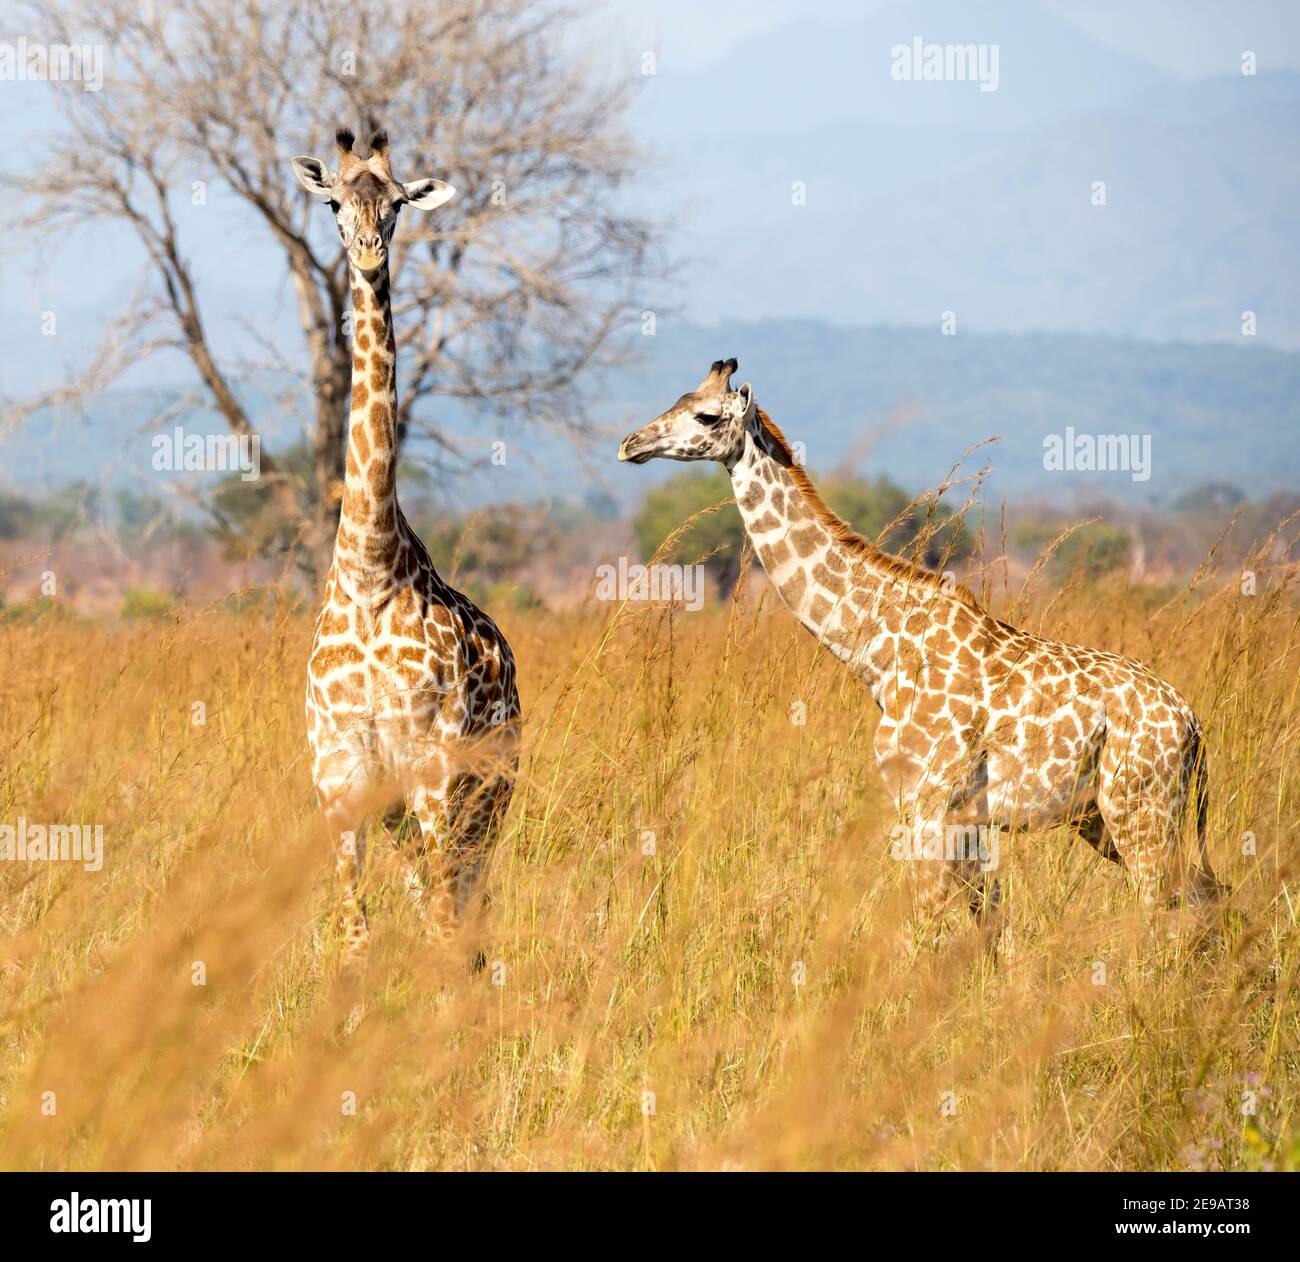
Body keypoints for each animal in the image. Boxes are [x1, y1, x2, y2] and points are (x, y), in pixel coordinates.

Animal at [293, 128, 519, 958]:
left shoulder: (432, 765)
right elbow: (355, 933)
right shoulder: (340, 776)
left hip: (487, 788)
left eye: (394, 204)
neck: (368, 570)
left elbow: (442, 925)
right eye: (333, 202)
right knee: (439, 898)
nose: (366, 251)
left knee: (463, 907)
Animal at [617, 358, 1220, 939]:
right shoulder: (966, 820)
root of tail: (1192, 725)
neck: (880, 653)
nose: (630, 444)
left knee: (1163, 908)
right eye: (676, 400)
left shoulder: (927, 805)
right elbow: (990, 929)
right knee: (1202, 897)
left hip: (1138, 808)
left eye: (706, 417)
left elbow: (921, 927)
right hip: (1104, 816)